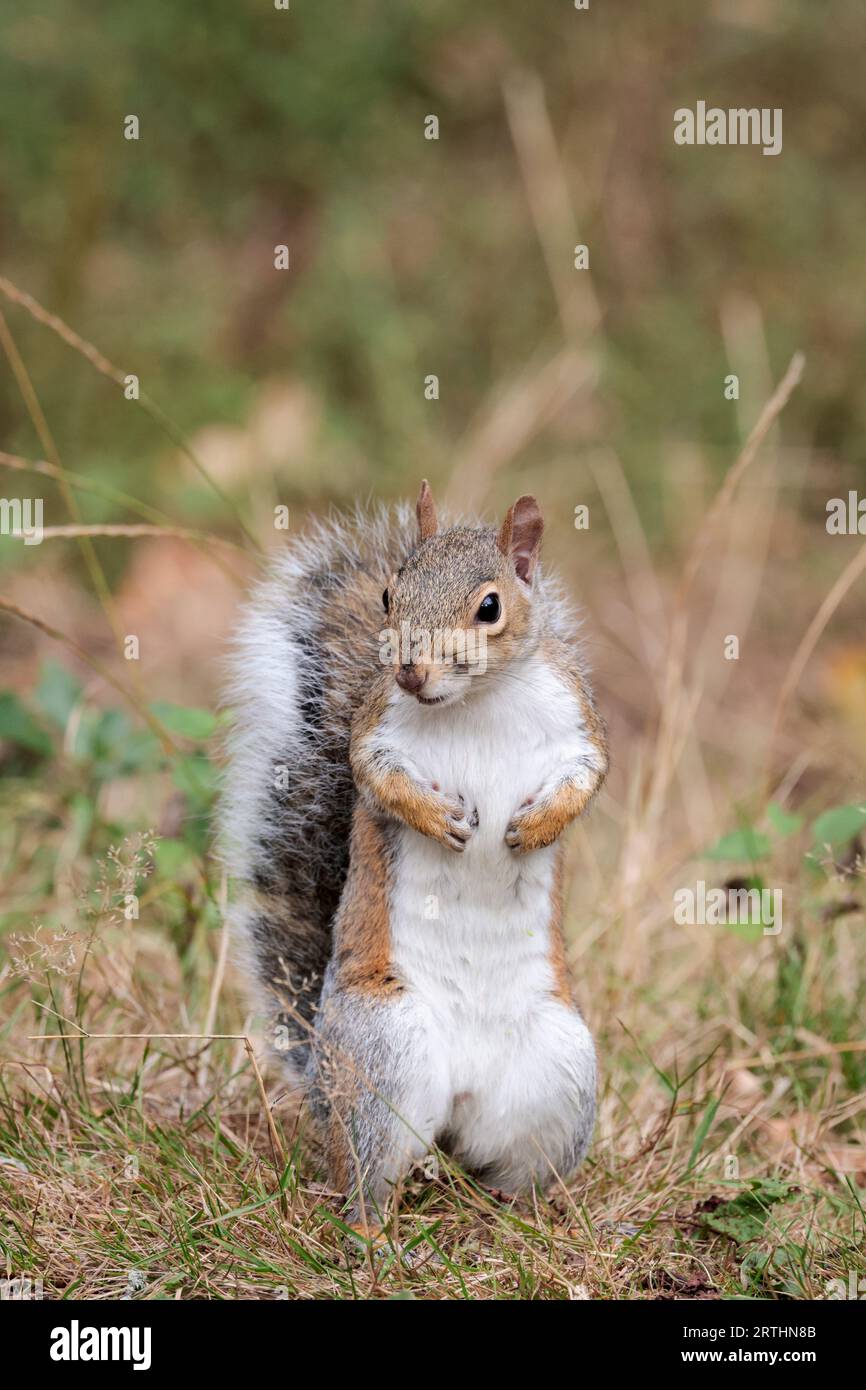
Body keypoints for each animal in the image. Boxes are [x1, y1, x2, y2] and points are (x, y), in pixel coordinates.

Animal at [222, 481, 608, 1221]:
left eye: (490, 607)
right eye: (387, 596)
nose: (408, 670)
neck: (477, 701)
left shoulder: (578, 725)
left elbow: (586, 780)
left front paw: (534, 828)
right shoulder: (376, 732)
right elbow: (380, 780)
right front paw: (440, 819)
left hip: (560, 1072)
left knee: (512, 1167)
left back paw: (523, 1215)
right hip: (384, 1055)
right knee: (367, 1171)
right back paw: (373, 1230)